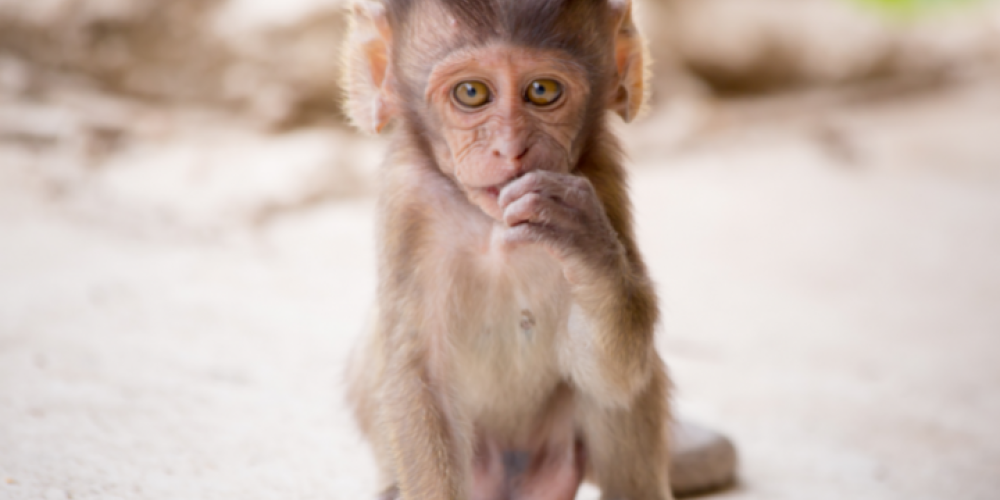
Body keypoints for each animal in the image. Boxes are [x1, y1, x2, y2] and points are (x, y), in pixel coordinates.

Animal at [342, 1, 736, 499]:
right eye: (471, 93)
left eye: (542, 91)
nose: (511, 150)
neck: (492, 225)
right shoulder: (409, 203)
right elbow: (424, 378)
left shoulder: (601, 180)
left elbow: (614, 375)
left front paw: (585, 245)